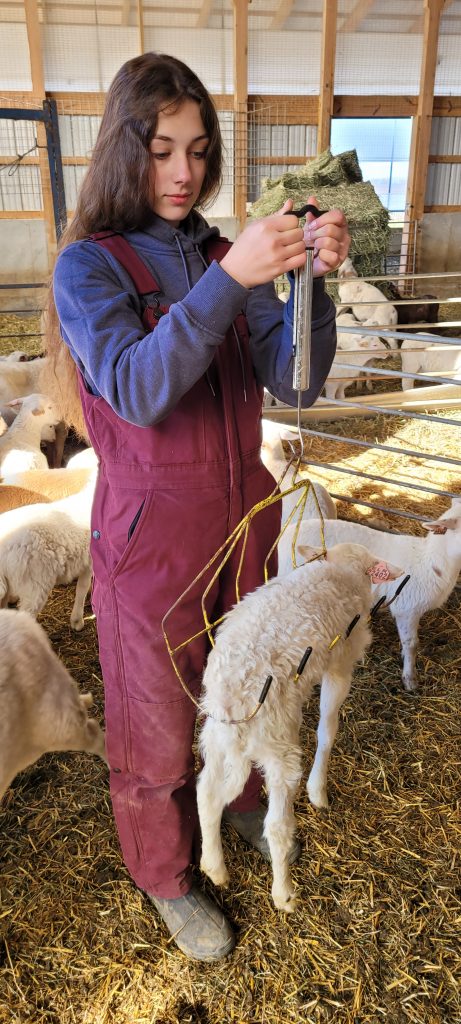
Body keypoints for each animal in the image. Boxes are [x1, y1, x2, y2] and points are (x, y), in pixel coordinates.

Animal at [196, 542, 402, 912]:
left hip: (217, 739)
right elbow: (327, 729)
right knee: (277, 826)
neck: (343, 569)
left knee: (207, 793)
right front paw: (318, 791)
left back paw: (215, 868)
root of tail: (235, 700)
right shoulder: (340, 663)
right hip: (279, 749)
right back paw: (284, 894)